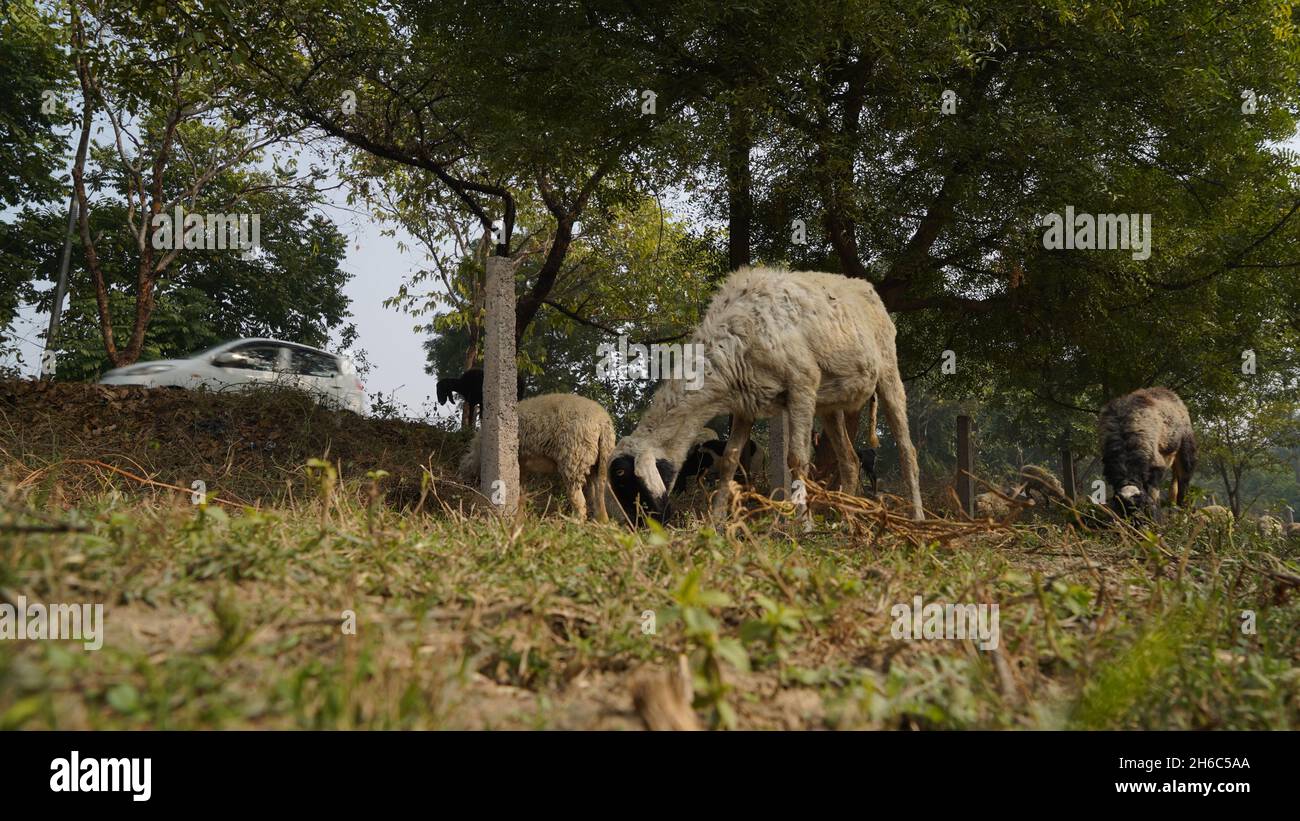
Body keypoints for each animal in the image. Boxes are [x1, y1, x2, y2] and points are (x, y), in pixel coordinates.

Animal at [459, 393, 614, 521]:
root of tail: (603, 421)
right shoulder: (522, 466)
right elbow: (521, 490)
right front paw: (520, 516)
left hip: (574, 459)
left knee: (579, 501)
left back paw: (575, 522)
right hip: (600, 463)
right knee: (598, 494)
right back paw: (601, 522)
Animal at [609, 266, 923, 526]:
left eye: (624, 480)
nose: (643, 527)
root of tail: (865, 287)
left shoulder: (802, 384)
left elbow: (797, 459)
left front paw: (804, 526)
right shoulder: (745, 404)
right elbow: (730, 461)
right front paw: (716, 522)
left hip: (887, 372)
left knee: (907, 450)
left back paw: (917, 517)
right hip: (829, 402)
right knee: (850, 461)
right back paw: (846, 523)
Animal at [1099, 387, 1197, 519]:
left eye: (1140, 506)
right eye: (1121, 510)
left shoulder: (1156, 468)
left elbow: (1153, 498)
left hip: (1185, 450)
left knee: (1183, 483)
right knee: (1174, 486)